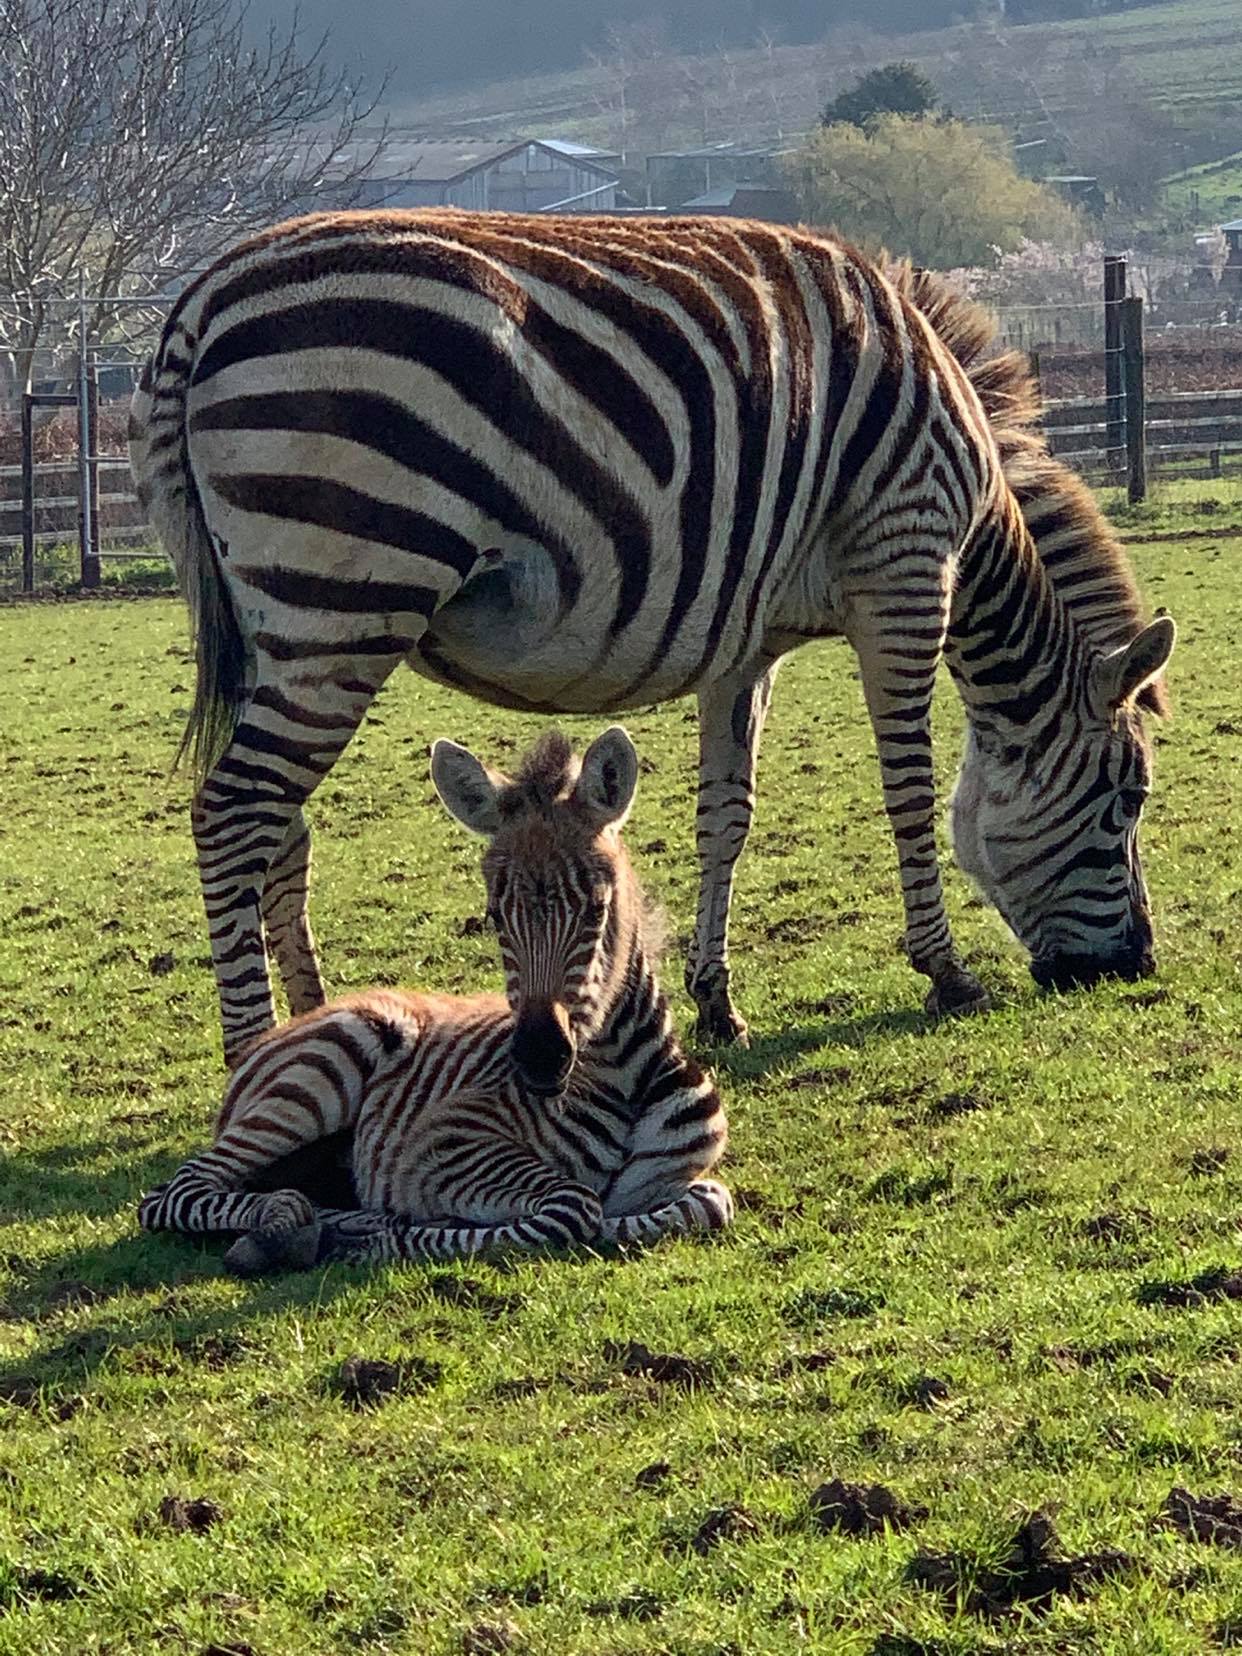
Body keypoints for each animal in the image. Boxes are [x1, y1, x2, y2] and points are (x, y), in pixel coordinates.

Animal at [128, 209, 1175, 1063]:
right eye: (1127, 800)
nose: (1133, 967)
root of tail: (202, 297)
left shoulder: (747, 642)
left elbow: (727, 816)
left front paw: (718, 1004)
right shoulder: (904, 566)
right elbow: (910, 792)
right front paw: (946, 973)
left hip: (280, 623)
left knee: (280, 824)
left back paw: (310, 1027)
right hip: (344, 595)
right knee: (234, 814)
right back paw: (249, 1055)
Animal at [138, 725, 732, 1272]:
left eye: (597, 908)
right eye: (493, 917)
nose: (539, 1058)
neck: (626, 1079)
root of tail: (269, 1039)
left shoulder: (686, 1179)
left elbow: (707, 1202)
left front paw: (372, 1229)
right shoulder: (443, 1141)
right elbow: (575, 1206)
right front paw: (391, 1235)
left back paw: (313, 1225)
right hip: (320, 1072)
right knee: (173, 1192)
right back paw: (293, 1225)